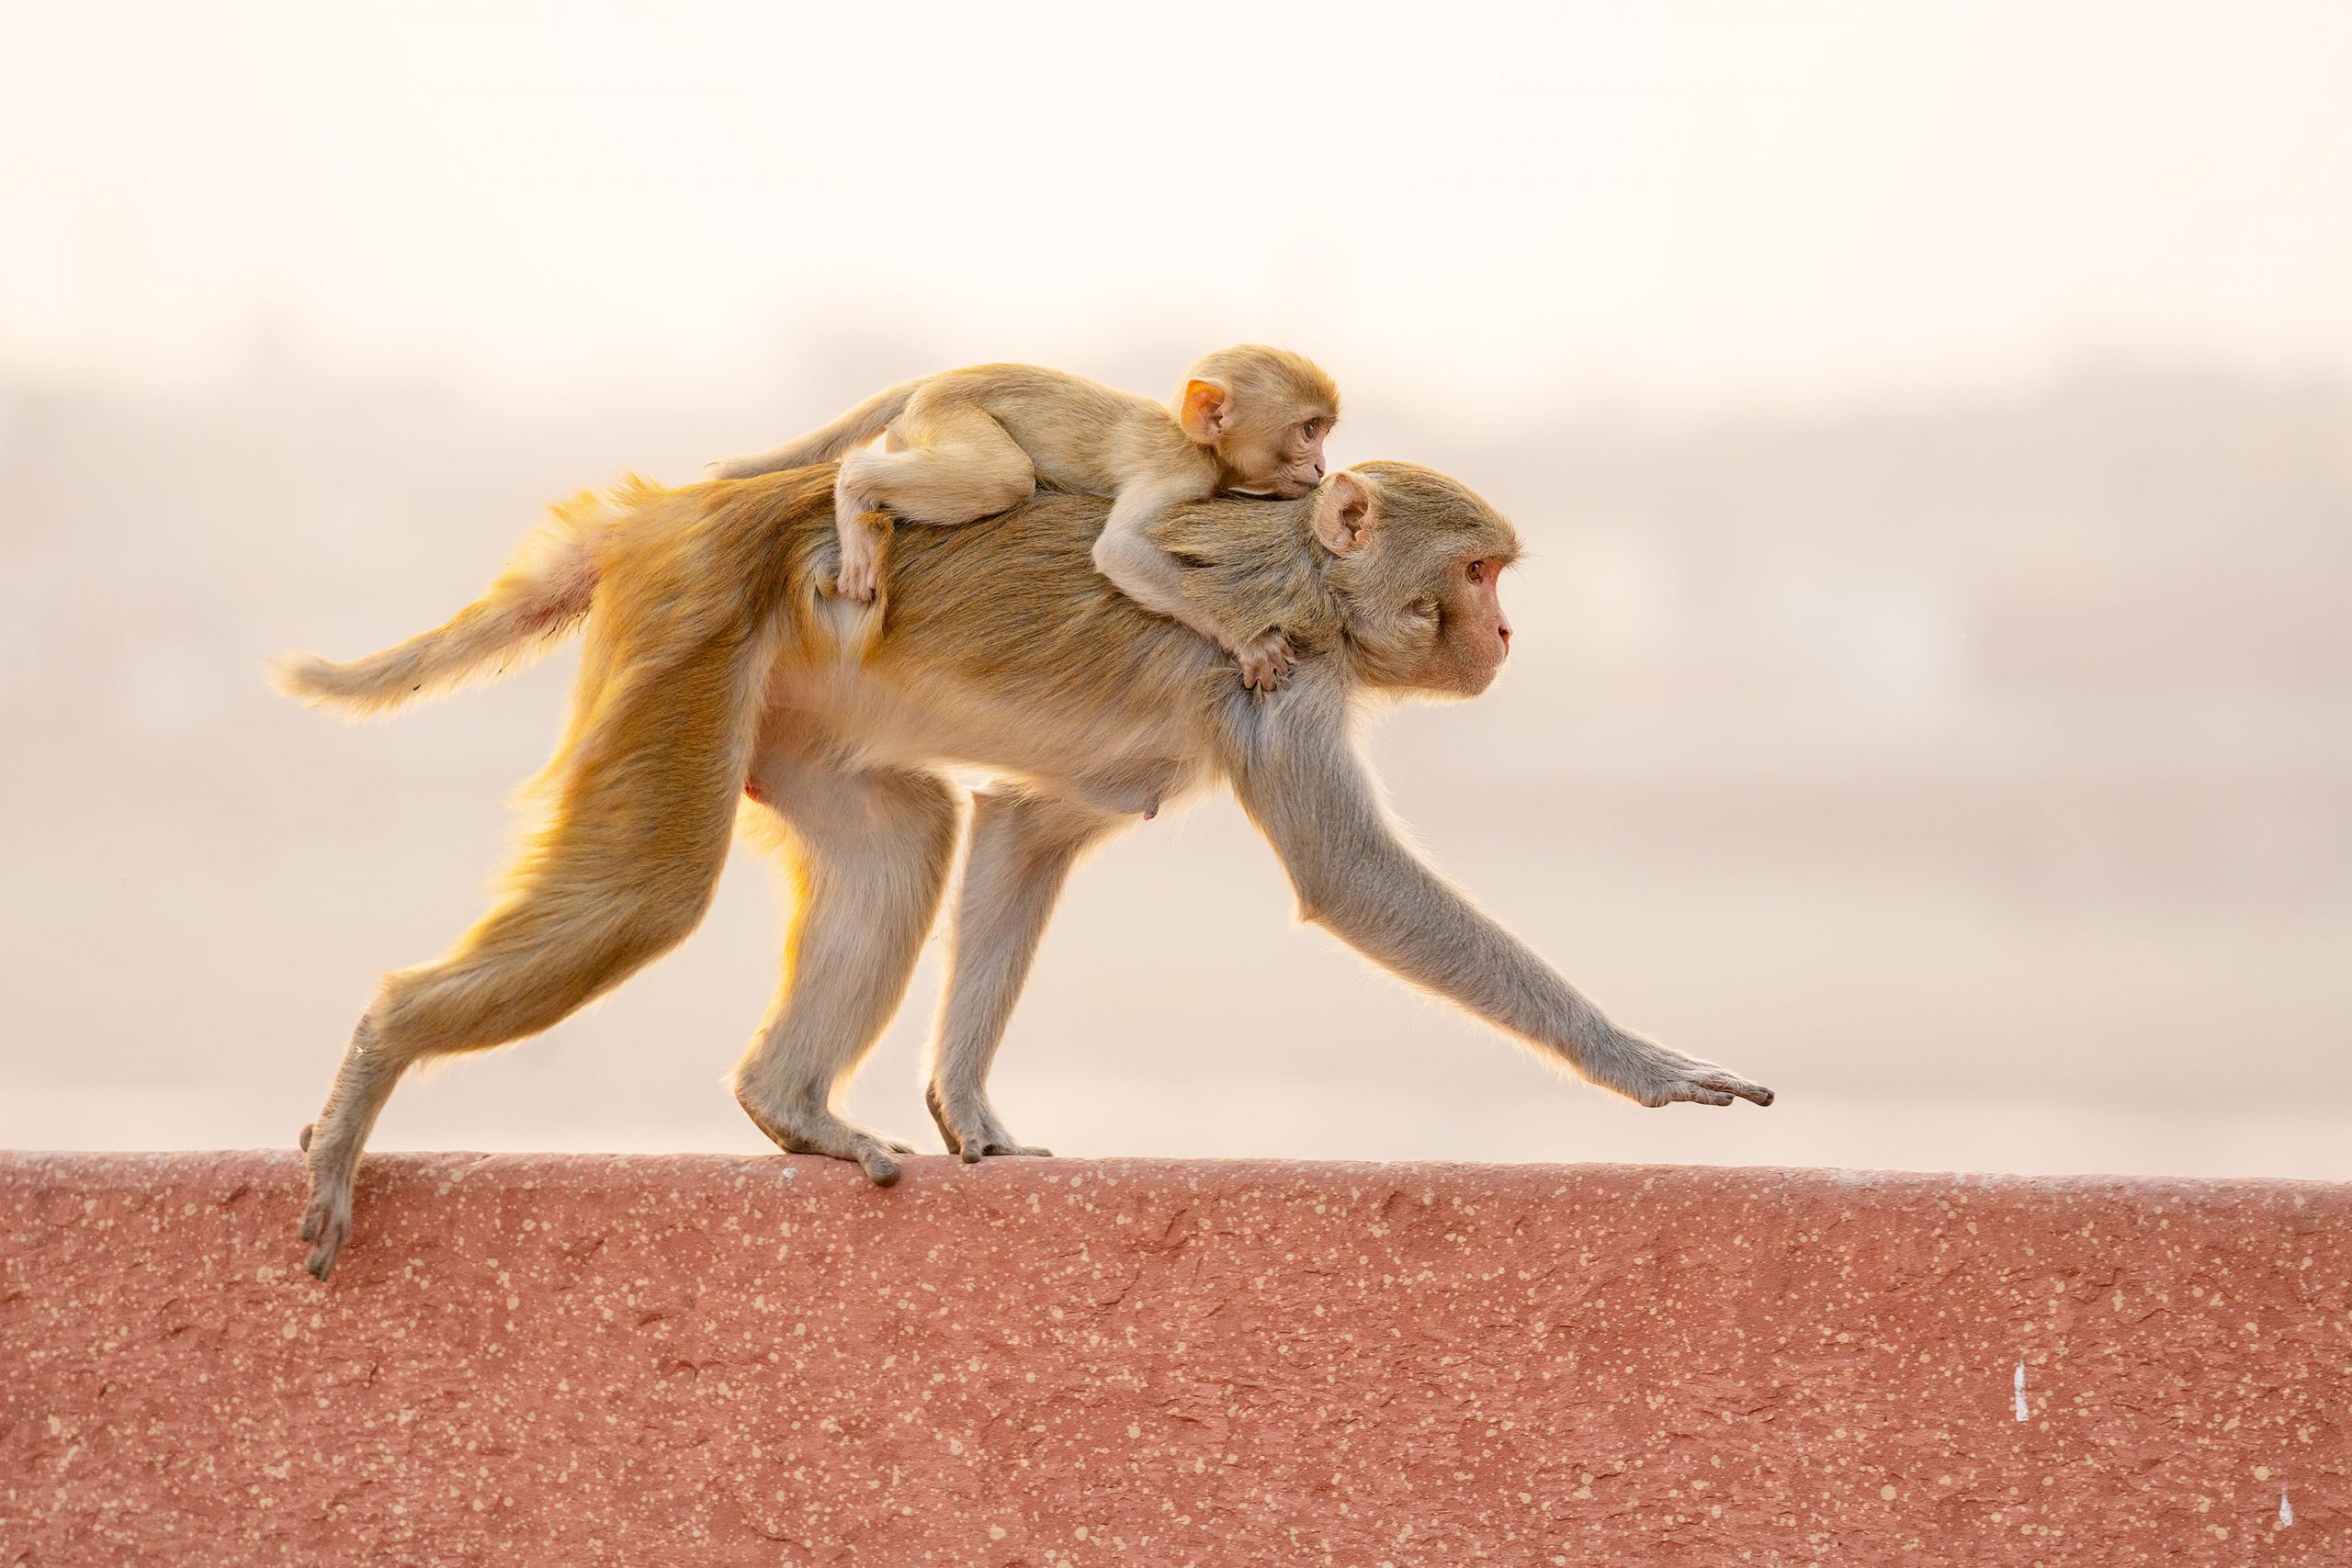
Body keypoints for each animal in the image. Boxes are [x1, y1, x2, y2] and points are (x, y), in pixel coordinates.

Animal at [270, 460, 1773, 1281]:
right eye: (1476, 571)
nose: (1506, 630)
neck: (1312, 579)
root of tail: (676, 513)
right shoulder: (1275, 683)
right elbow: (1348, 877)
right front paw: (1643, 1065)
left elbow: (1021, 827)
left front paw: (970, 1114)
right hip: (688, 636)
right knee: (650, 891)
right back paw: (380, 1053)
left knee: (908, 834)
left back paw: (791, 1103)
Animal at [706, 346, 1338, 691]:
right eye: (1309, 429)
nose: (1321, 465)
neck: (1200, 444)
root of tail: (942, 379)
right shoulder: (1175, 471)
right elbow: (1120, 552)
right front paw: (1249, 639)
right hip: (951, 415)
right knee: (1000, 477)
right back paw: (857, 491)